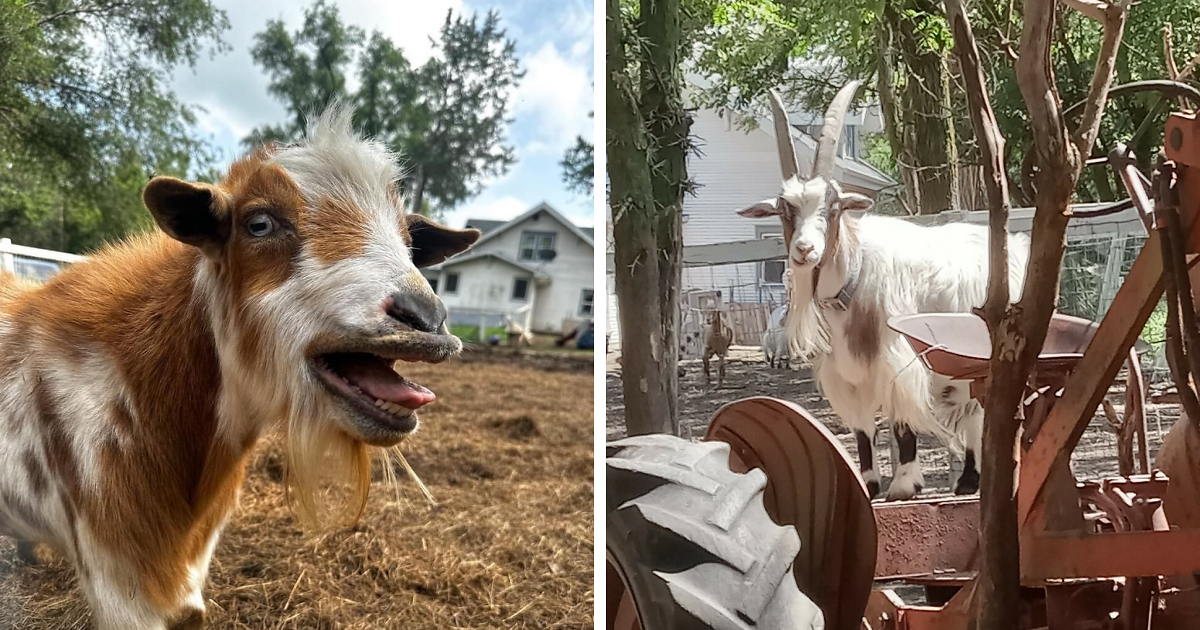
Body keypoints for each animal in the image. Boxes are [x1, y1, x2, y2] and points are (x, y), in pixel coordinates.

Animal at [737, 81, 1030, 500]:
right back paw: (968, 481)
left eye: (833, 206)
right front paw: (869, 484)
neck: (855, 281)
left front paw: (905, 485)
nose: (805, 250)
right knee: (976, 409)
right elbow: (863, 430)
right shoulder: (849, 378)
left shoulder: (899, 361)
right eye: (784, 208)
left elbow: (902, 425)